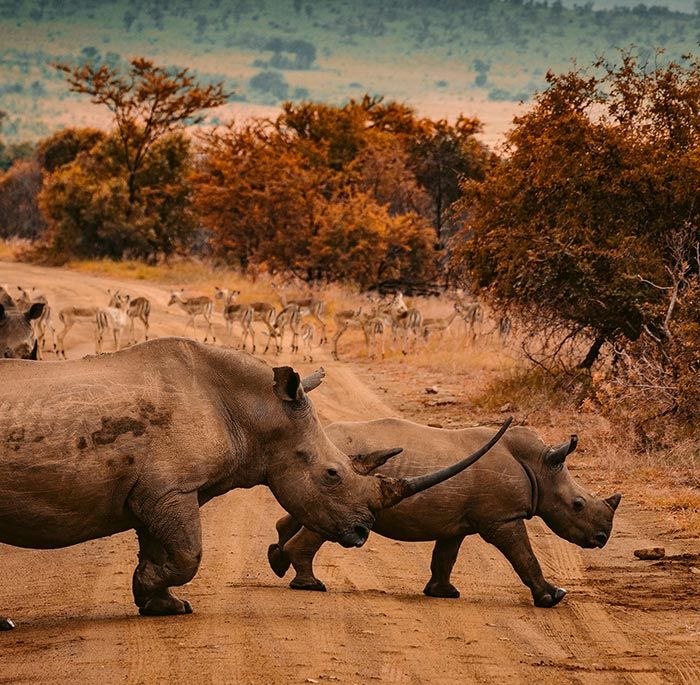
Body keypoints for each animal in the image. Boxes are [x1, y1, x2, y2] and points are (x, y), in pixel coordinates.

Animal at [0, 338, 510, 630]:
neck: (255, 412)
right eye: (332, 474)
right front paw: (149, 590)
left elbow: (159, 547)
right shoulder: (171, 488)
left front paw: (161, 604)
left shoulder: (156, 489)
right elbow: (188, 554)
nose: (362, 533)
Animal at [268, 418, 621, 608]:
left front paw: (443, 594)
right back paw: (310, 585)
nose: (603, 538)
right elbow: (525, 556)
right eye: (577, 505)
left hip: (324, 472)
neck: (540, 467)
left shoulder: (457, 522)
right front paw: (553, 597)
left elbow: (445, 557)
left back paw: (279, 561)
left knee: (303, 512)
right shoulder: (502, 518)